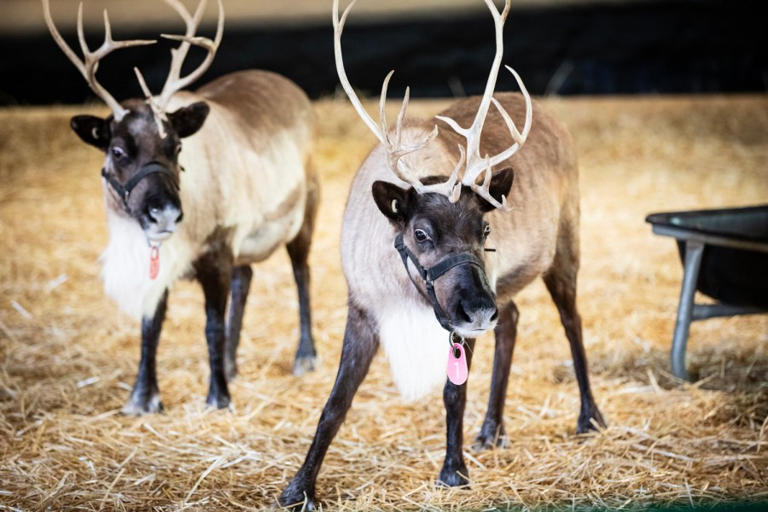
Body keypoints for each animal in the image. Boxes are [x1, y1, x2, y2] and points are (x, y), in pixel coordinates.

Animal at [42, 0, 319, 414]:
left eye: (176, 146)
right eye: (117, 150)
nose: (165, 213)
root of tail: (292, 87)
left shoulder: (218, 249)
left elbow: (211, 324)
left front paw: (218, 396)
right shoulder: (160, 262)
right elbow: (151, 324)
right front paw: (142, 397)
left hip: (305, 213)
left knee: (301, 273)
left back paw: (304, 356)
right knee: (246, 278)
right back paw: (231, 363)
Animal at [279, 0, 605, 508]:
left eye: (484, 227)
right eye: (421, 233)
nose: (479, 308)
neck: (404, 290)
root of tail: (555, 121)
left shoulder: (460, 319)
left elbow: (454, 395)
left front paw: (453, 471)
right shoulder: (362, 308)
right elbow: (335, 403)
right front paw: (299, 487)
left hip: (562, 246)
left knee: (572, 322)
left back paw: (589, 417)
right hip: (504, 286)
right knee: (512, 322)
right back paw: (492, 429)